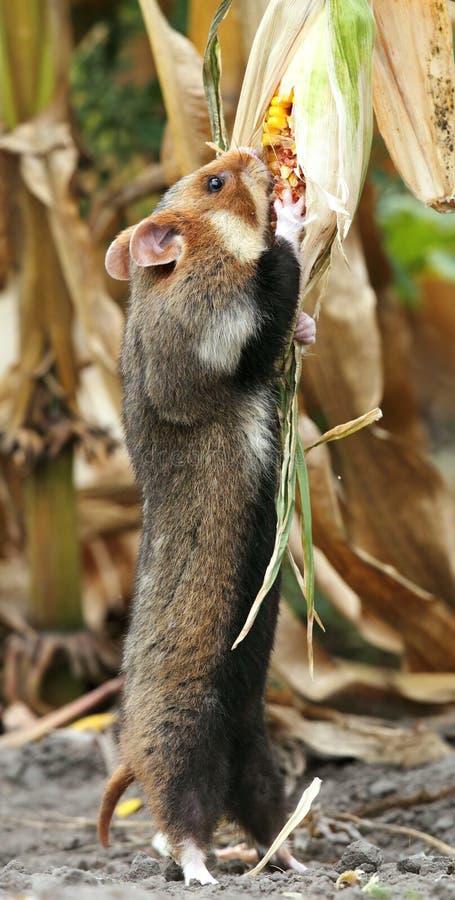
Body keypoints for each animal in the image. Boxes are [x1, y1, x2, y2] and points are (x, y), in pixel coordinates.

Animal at [98, 148, 314, 885]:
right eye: (215, 182)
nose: (249, 152)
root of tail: (129, 752)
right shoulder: (220, 317)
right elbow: (275, 272)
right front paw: (292, 214)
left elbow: (288, 326)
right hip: (182, 739)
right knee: (178, 821)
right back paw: (200, 872)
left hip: (252, 744)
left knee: (260, 813)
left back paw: (293, 866)